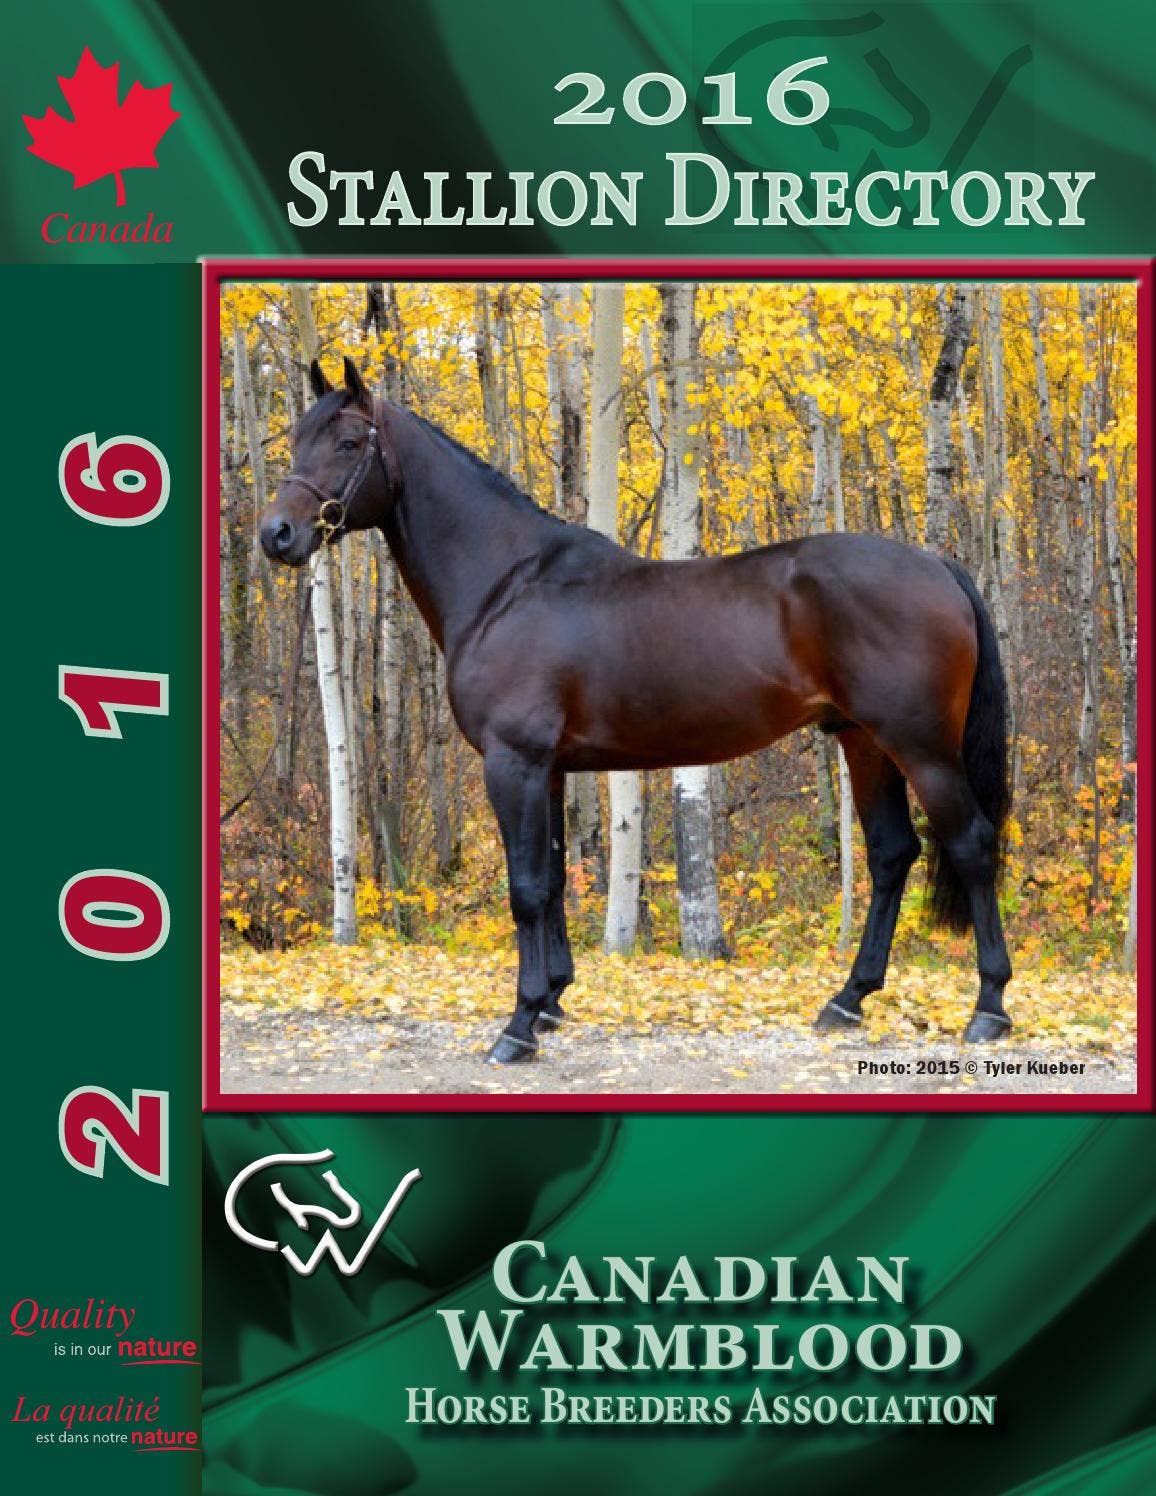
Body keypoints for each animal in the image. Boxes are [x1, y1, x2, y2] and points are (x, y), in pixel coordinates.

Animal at [258, 356, 1013, 1063]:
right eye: (296, 438)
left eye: (349, 442)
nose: (277, 534)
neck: (508, 585)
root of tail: (937, 566)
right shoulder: (549, 769)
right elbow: (554, 880)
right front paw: (552, 1002)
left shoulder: (514, 762)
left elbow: (525, 887)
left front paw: (518, 1026)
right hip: (863, 740)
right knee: (892, 854)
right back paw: (848, 999)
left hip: (921, 747)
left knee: (972, 845)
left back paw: (988, 1009)